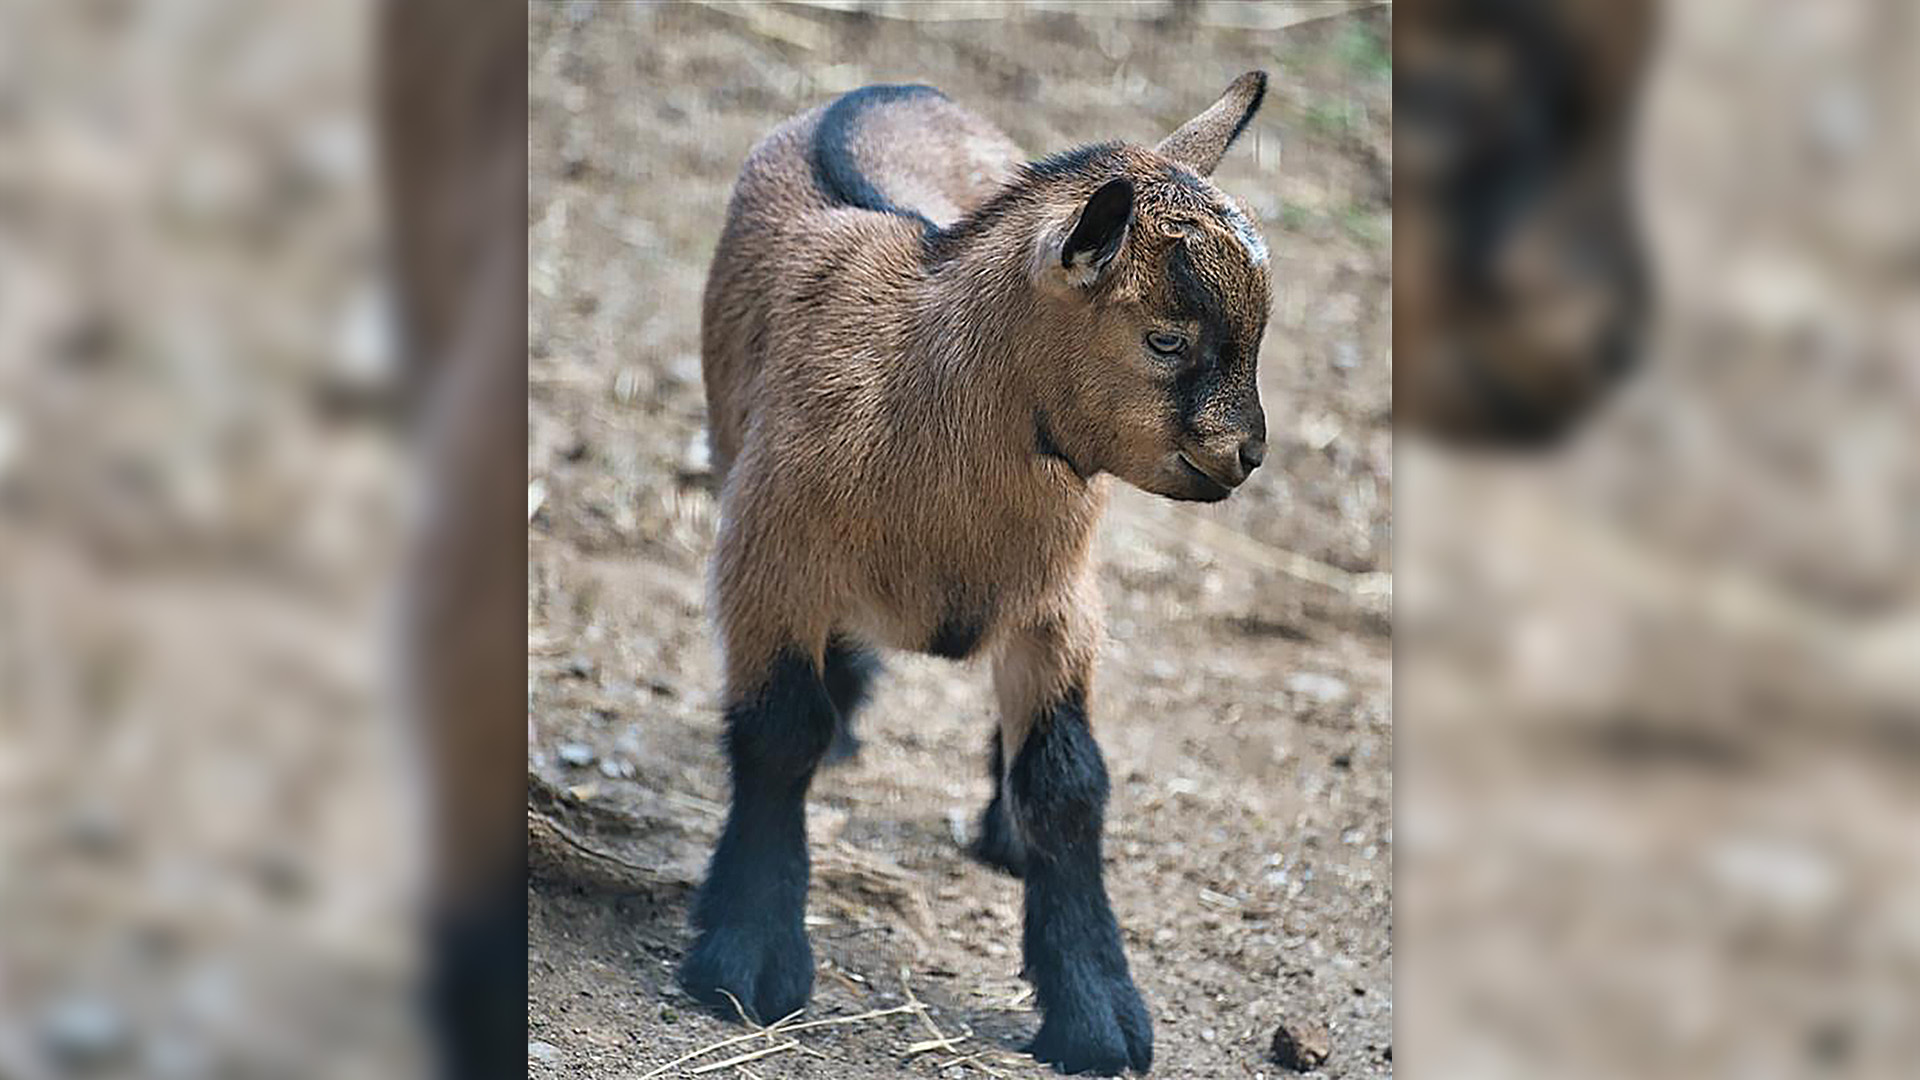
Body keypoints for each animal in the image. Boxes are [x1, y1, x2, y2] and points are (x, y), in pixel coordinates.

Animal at [685, 73, 1272, 1076]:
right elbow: (780, 732)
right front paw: (747, 960)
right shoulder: (770, 562)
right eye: (1164, 340)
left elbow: (1069, 781)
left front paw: (1097, 1014)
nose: (1247, 455)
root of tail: (891, 87)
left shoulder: (1056, 603)